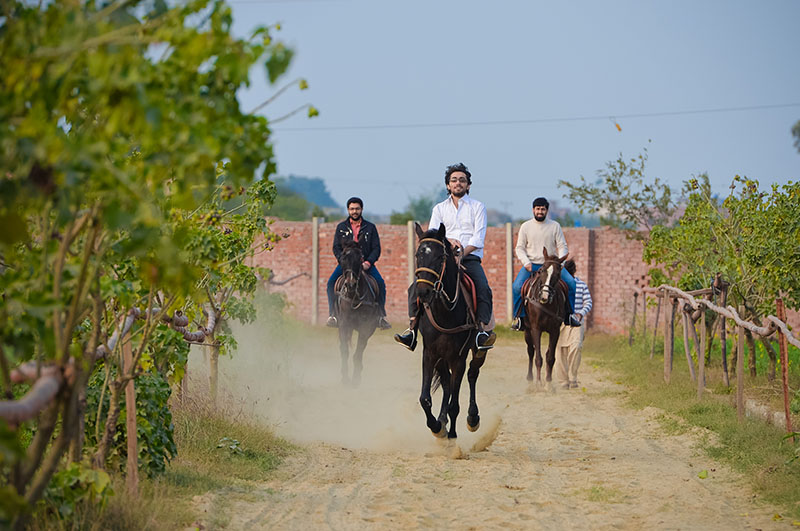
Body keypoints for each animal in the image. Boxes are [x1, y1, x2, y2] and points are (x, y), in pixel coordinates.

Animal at [335, 236, 379, 387]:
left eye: (360, 259)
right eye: (343, 258)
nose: (351, 284)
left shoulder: (366, 327)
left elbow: (358, 352)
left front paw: (355, 379)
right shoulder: (343, 324)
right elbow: (344, 350)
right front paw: (345, 378)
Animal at [414, 222, 487, 439]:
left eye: (440, 257)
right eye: (418, 255)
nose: (423, 292)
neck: (446, 313)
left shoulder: (458, 358)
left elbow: (455, 403)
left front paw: (452, 436)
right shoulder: (429, 354)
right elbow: (425, 398)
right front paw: (437, 427)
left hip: (477, 351)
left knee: (472, 374)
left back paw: (472, 418)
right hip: (441, 358)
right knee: (447, 383)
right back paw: (442, 420)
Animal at [522, 247, 568, 385]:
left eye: (558, 274)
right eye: (541, 270)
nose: (544, 296)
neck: (546, 305)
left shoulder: (555, 331)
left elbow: (550, 357)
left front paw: (548, 382)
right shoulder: (536, 329)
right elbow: (538, 357)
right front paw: (538, 383)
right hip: (527, 330)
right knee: (531, 351)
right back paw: (530, 377)